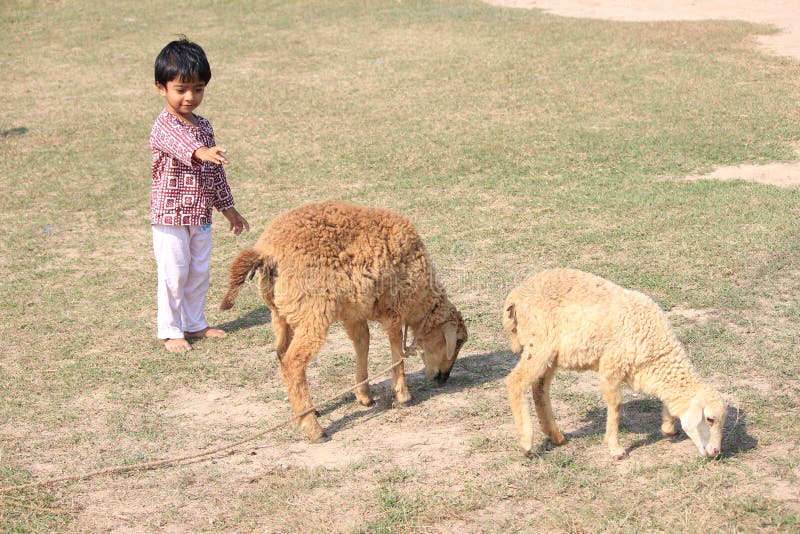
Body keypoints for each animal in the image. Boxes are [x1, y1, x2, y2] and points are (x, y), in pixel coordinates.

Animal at [220, 201, 468, 443]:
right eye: (457, 341)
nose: (444, 378)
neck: (420, 298)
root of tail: (266, 252)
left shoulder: (354, 313)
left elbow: (363, 343)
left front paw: (364, 395)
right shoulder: (394, 306)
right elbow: (397, 349)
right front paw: (403, 395)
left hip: (281, 314)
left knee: (281, 354)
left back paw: (307, 411)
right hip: (312, 312)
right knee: (293, 362)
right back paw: (315, 430)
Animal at [502, 268, 726, 459]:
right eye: (710, 419)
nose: (716, 452)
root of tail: (515, 295)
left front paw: (668, 429)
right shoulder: (611, 365)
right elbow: (616, 405)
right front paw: (615, 449)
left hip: (552, 354)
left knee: (539, 388)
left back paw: (556, 436)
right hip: (539, 343)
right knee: (516, 381)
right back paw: (526, 444)